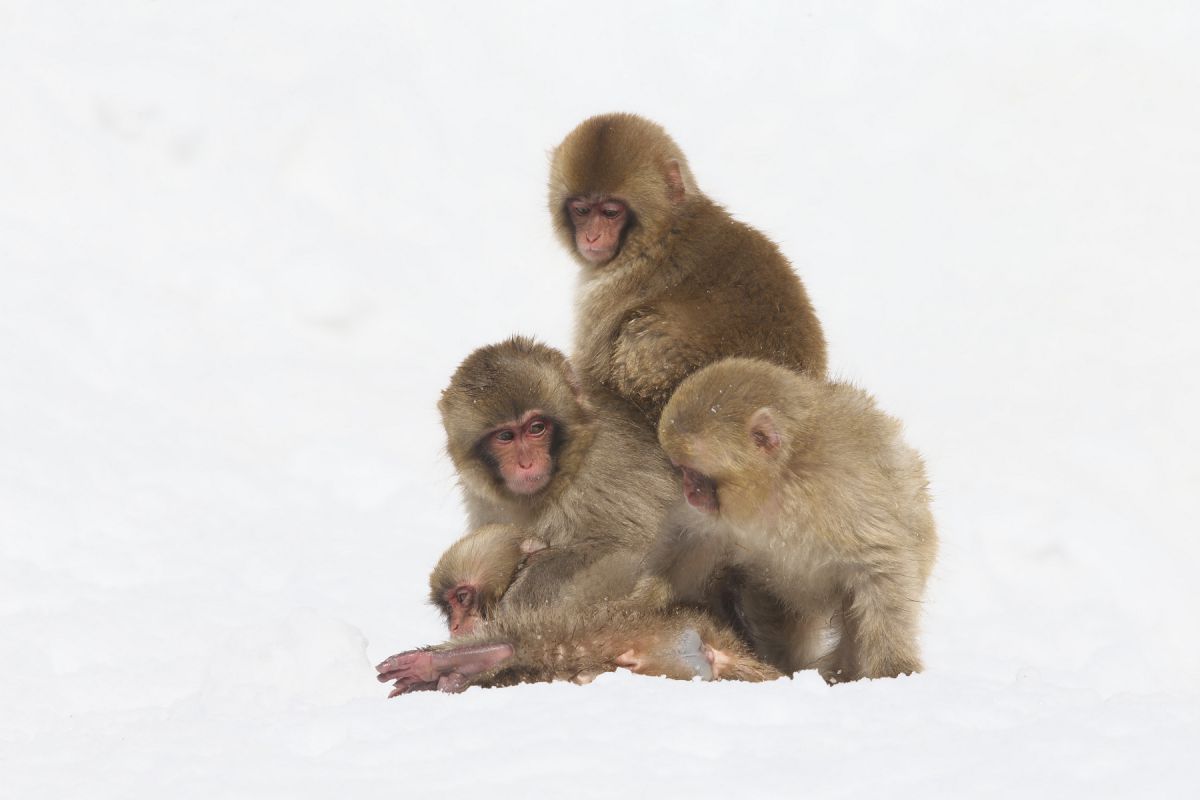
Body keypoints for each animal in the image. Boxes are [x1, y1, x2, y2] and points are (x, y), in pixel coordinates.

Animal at [637, 358, 937, 683]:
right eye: (682, 471)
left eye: (695, 473)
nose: (689, 491)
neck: (779, 481)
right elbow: (692, 542)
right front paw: (642, 607)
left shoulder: (843, 493)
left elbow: (880, 569)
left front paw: (895, 669)